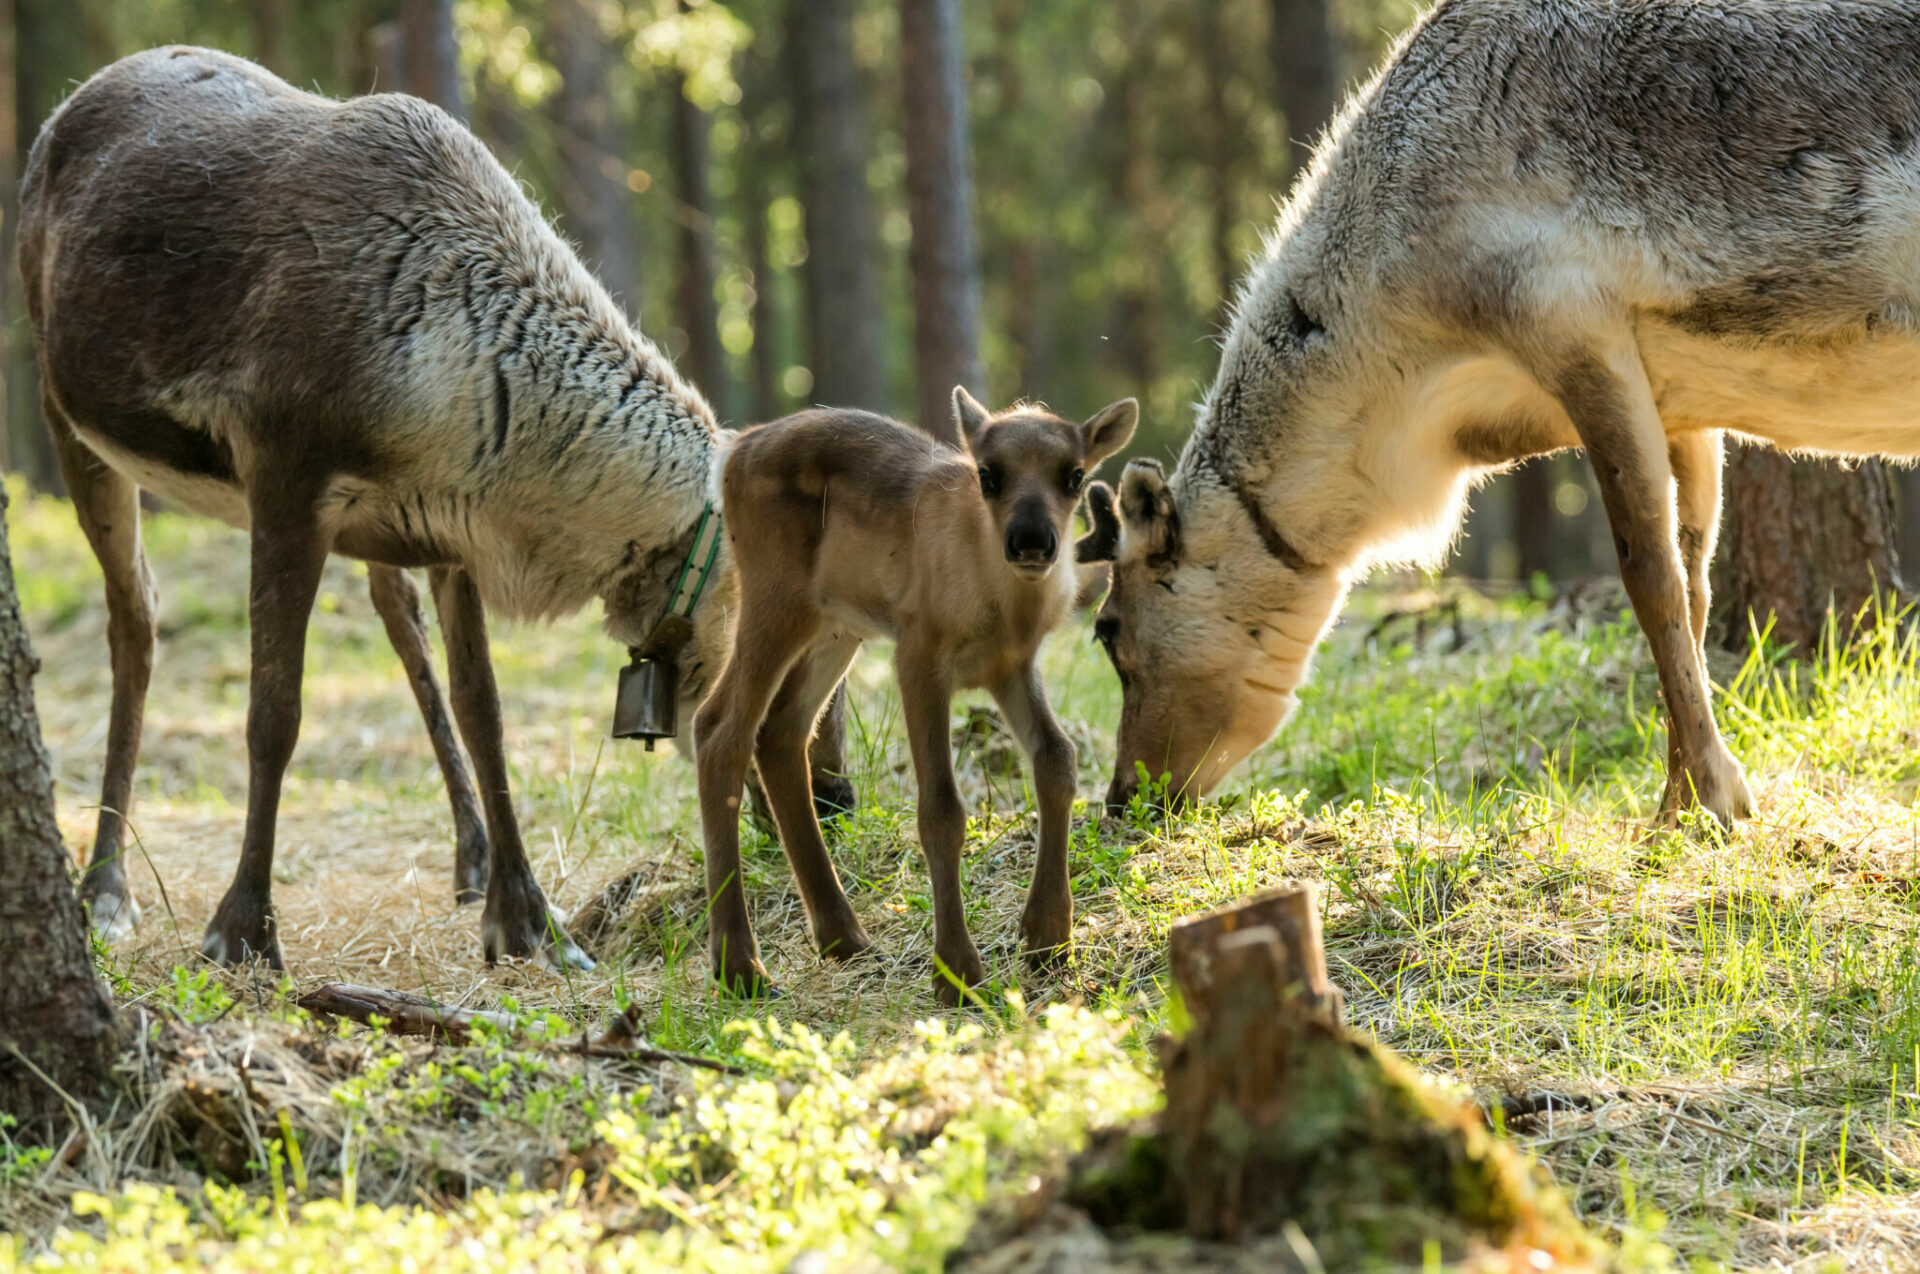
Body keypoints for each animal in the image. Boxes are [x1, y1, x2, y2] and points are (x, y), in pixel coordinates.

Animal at [16, 46, 850, 971]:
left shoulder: (455, 525)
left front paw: (528, 918)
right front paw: (243, 929)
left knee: (395, 616)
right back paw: (105, 890)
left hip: (376, 529)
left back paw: (471, 856)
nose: (840, 797)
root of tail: (69, 106)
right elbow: (274, 714)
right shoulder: (286, 480)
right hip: (68, 416)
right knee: (135, 620)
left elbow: (484, 711)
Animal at [694, 389, 1134, 1001]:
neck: (998, 602)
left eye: (1074, 475)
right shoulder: (919, 655)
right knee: (719, 729)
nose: (1030, 541)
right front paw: (956, 971)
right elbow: (941, 809)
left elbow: (1057, 759)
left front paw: (1049, 937)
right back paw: (741, 967)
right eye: (988, 474)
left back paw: (845, 939)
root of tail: (731, 452)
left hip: (837, 624)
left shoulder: (1011, 666)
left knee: (781, 732)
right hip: (776, 599)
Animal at [1094, 0, 1920, 825]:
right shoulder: (1681, 400)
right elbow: (1695, 584)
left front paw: (1708, 797)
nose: (1121, 796)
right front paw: (1685, 795)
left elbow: (1648, 579)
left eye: (1108, 631)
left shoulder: (1574, 327)